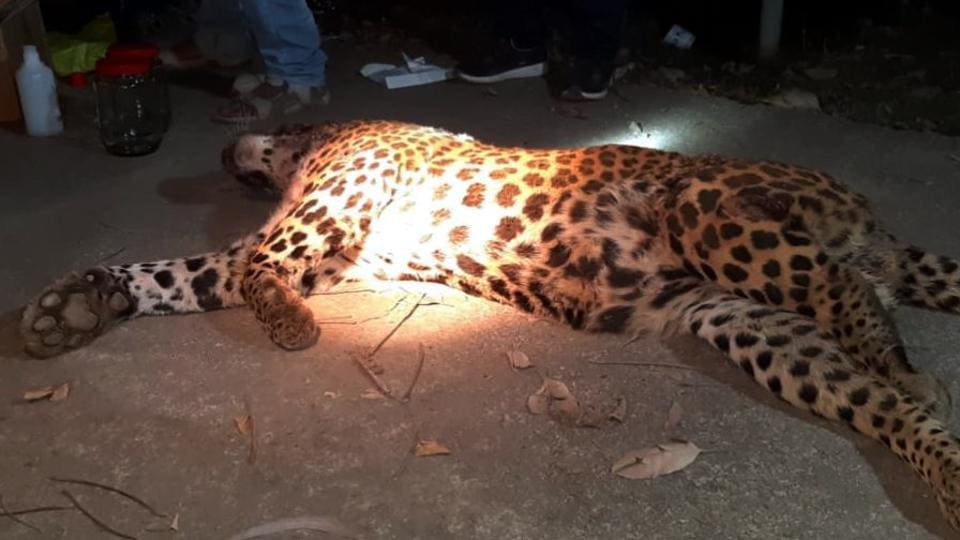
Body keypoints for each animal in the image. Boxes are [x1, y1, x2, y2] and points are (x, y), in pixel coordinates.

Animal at [18, 119, 960, 529]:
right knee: (881, 399)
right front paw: (73, 306)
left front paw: (290, 326)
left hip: (708, 211)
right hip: (737, 317)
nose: (219, 154)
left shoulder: (338, 196)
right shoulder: (315, 242)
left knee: (847, 289)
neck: (302, 145)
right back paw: (940, 460)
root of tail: (871, 226)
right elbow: (179, 275)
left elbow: (254, 271)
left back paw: (906, 364)